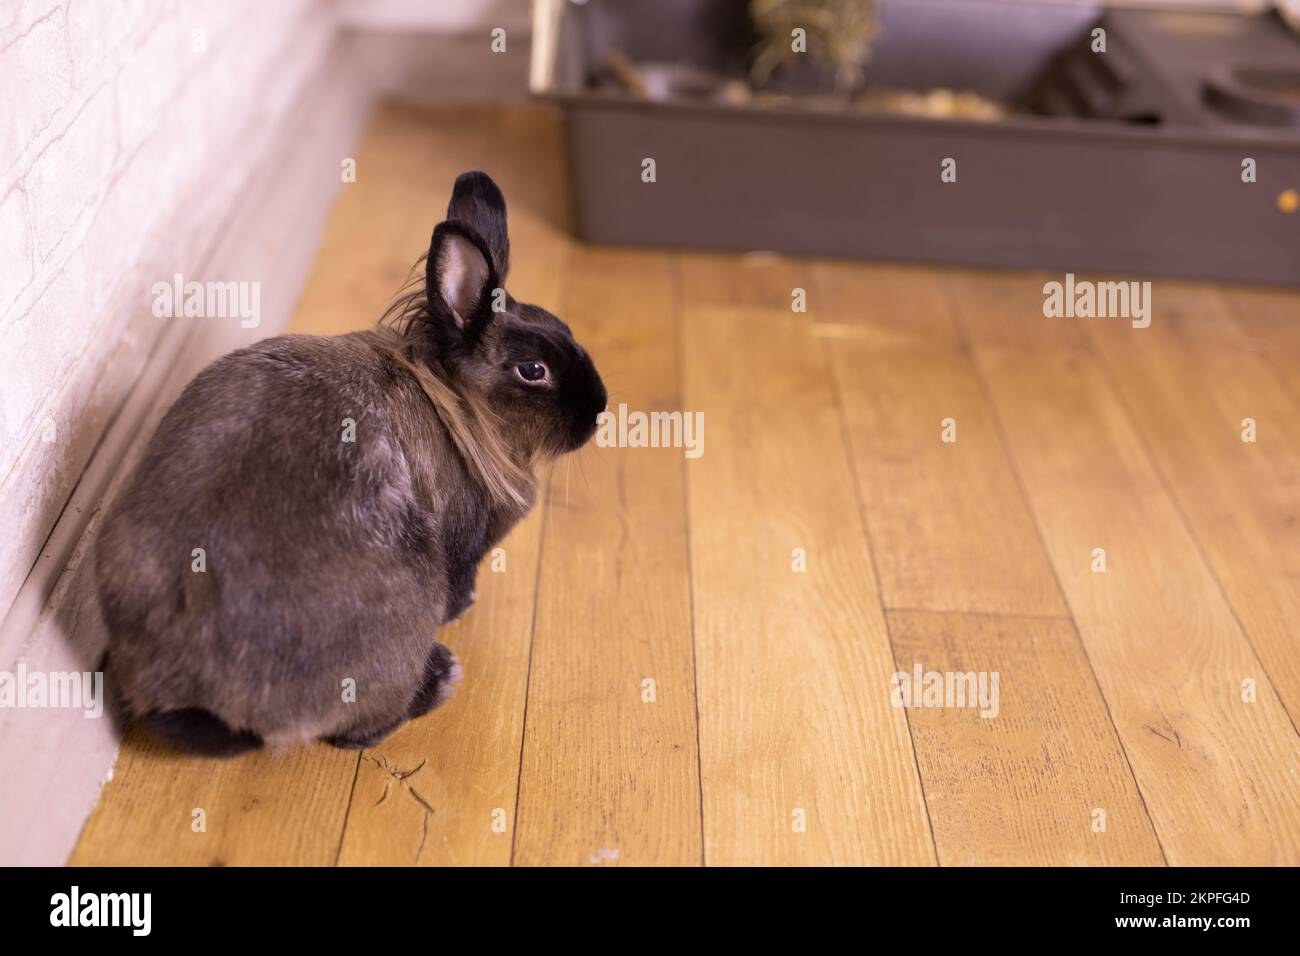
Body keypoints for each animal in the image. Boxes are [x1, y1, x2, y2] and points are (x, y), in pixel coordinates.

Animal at [93, 170, 606, 756]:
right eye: (533, 370)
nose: (599, 408)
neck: (459, 404)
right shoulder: (461, 549)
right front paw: (463, 608)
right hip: (412, 589)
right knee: (357, 731)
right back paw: (438, 679)